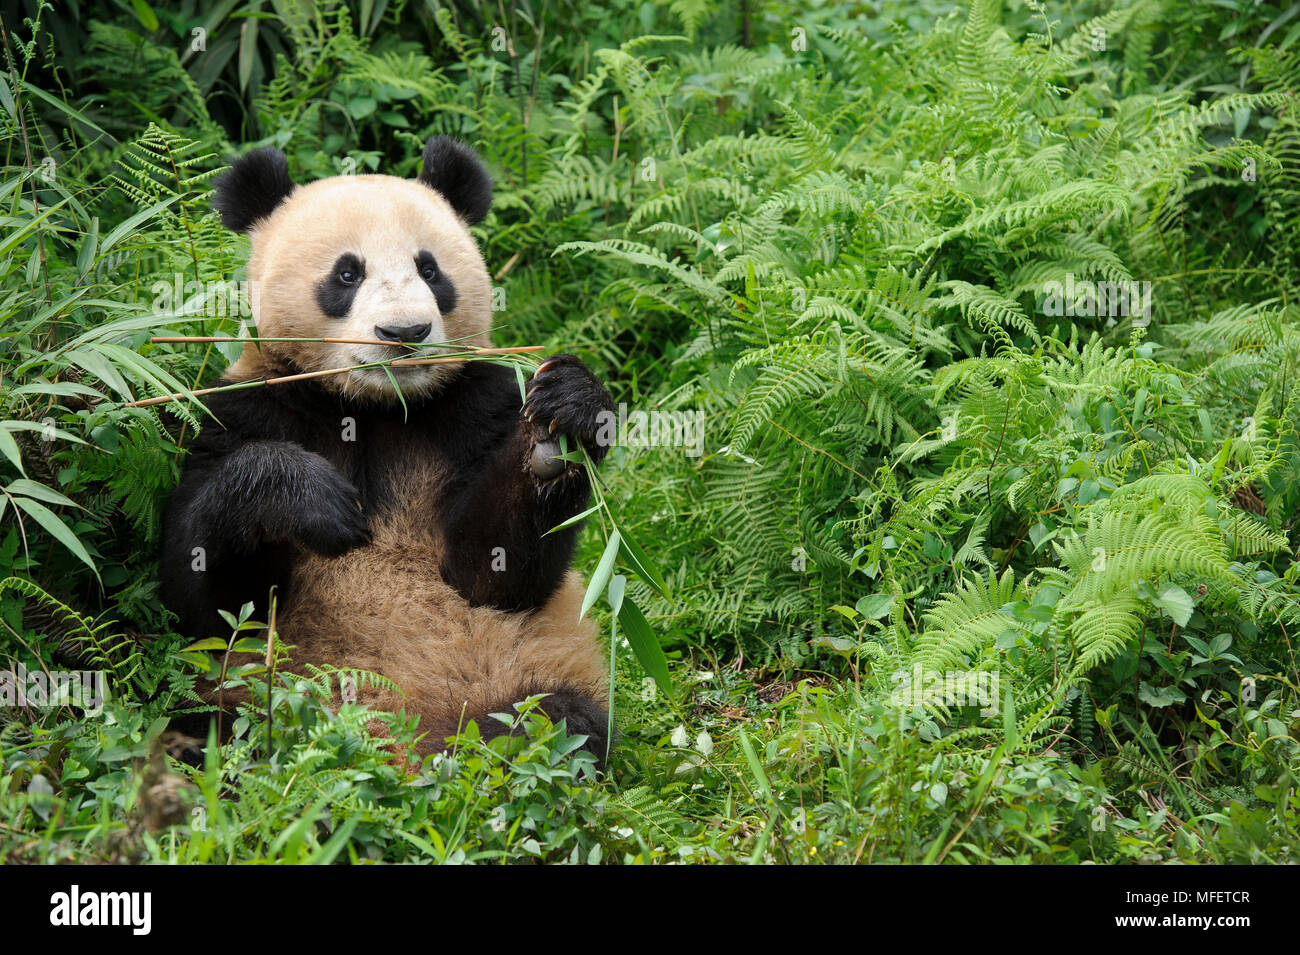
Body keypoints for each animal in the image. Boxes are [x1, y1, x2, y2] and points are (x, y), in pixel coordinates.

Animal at [159, 136, 615, 759]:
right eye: (347, 273)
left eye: (430, 269)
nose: (404, 333)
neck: (374, 407)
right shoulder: (245, 411)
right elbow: (213, 601)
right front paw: (313, 503)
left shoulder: (475, 407)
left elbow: (496, 576)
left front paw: (557, 428)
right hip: (244, 705)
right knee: (205, 731)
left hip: (519, 670)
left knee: (559, 723)